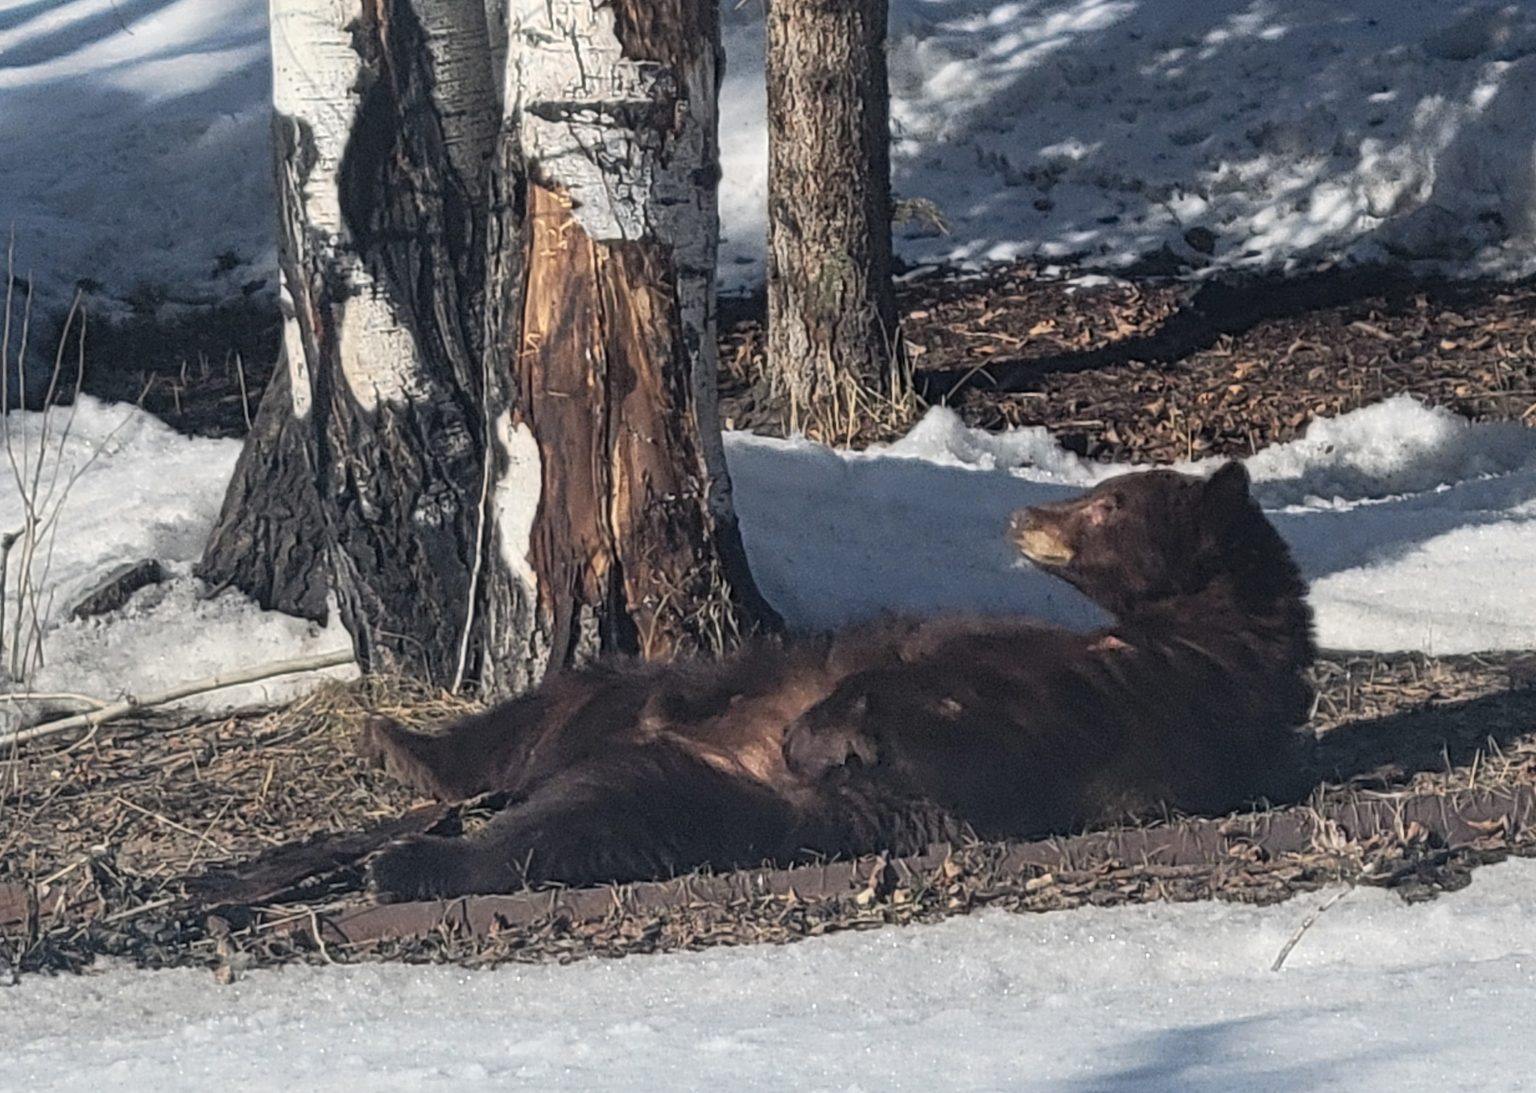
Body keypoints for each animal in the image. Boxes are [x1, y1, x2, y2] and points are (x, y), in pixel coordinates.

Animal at [359, 460, 1315, 901]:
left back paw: (412, 857)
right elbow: (936, 655)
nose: (1022, 513)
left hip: (718, 793)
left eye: (1108, 501)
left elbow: (979, 729)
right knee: (565, 700)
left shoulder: (1133, 714)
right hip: (712, 677)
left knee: (593, 810)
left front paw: (818, 734)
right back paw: (408, 744)